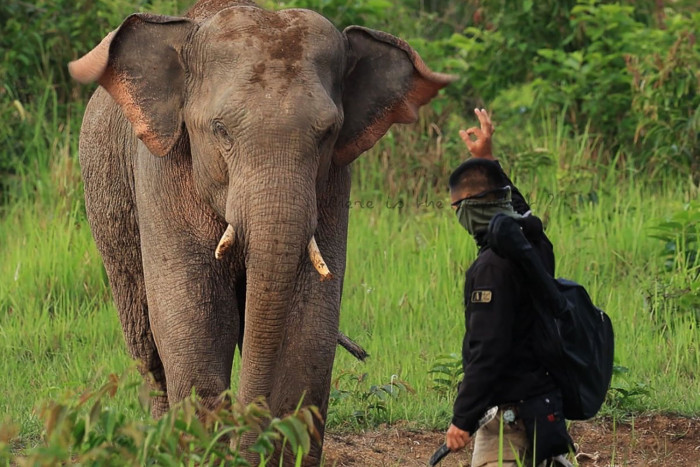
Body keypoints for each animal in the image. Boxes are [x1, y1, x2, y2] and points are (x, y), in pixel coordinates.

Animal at [69, 0, 453, 463]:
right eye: (220, 130)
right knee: (147, 346)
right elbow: (194, 323)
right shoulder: (161, 174)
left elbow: (308, 332)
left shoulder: (333, 183)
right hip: (105, 202)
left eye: (328, 133)